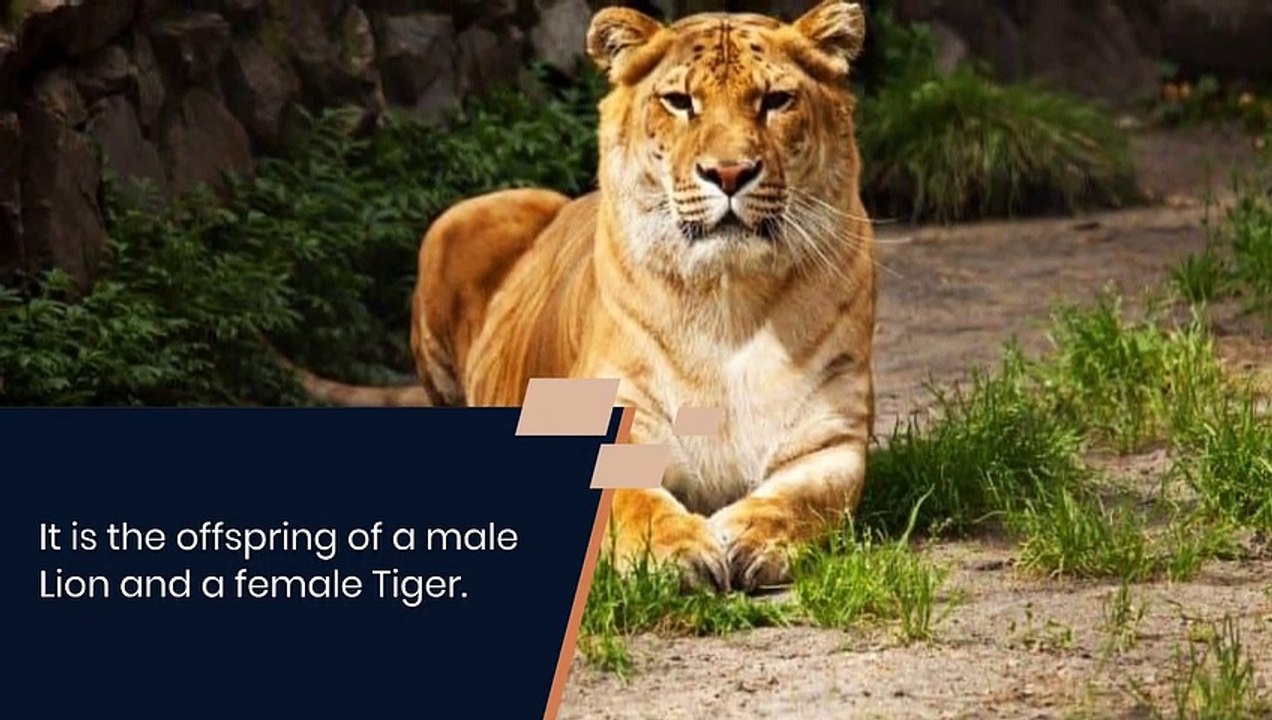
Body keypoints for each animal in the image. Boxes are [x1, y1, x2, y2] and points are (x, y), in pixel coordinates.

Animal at [293, 0, 877, 592]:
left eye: (776, 101)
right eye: (679, 101)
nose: (730, 172)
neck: (730, 298)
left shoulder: (831, 443)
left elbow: (805, 502)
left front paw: (755, 536)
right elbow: (634, 503)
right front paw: (680, 551)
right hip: (458, 220)